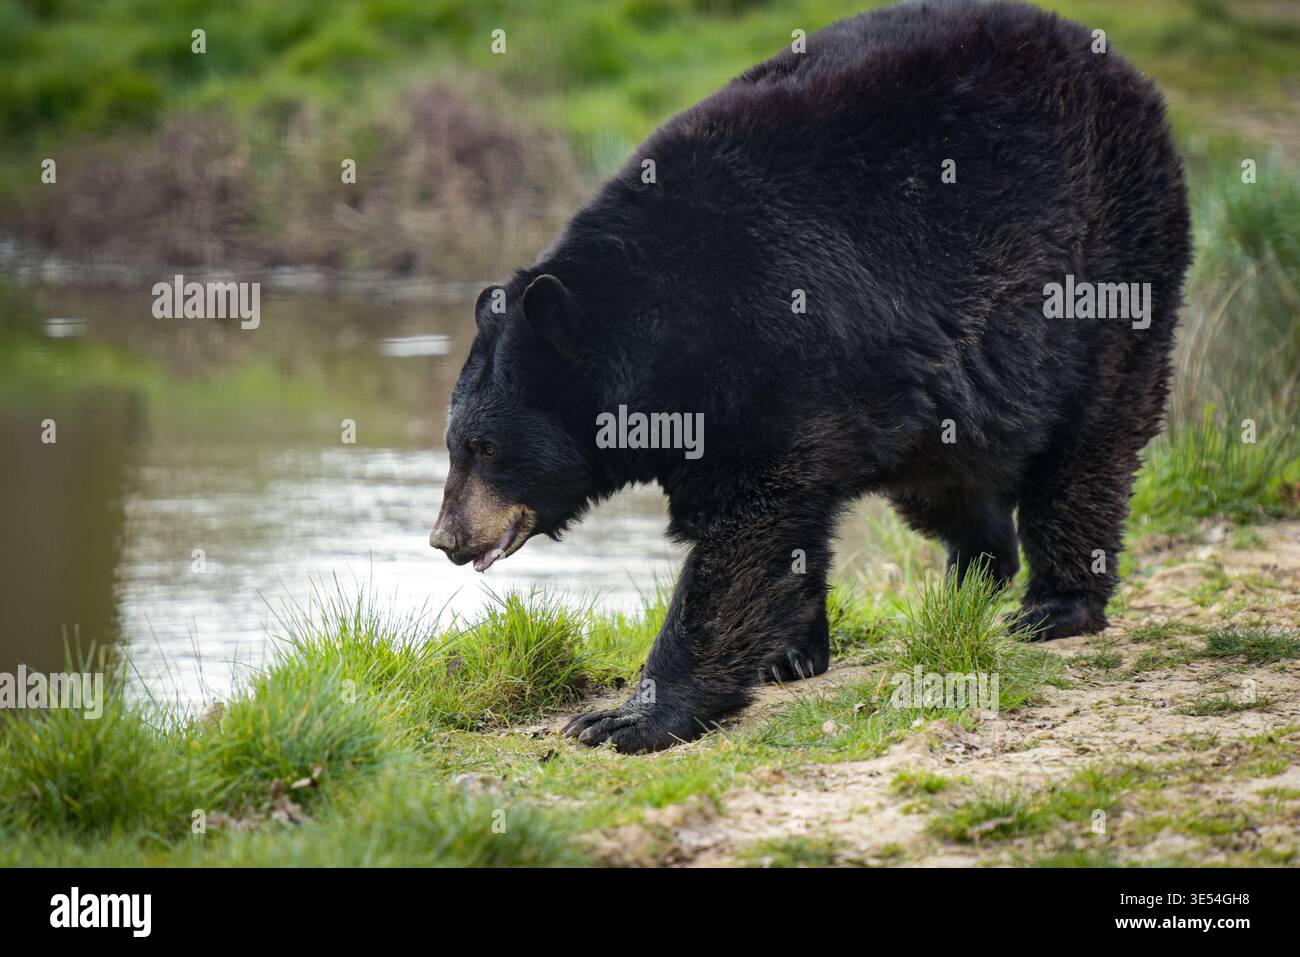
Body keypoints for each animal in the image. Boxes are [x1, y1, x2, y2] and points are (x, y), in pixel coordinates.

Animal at [429, 0, 1192, 752]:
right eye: (455, 444)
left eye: (484, 447)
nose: (445, 538)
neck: (660, 329)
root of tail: (1122, 69)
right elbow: (788, 529)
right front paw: (790, 654)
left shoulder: (773, 352)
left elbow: (747, 533)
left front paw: (628, 716)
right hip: (940, 389)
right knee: (947, 478)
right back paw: (972, 579)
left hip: (1108, 259)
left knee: (1091, 436)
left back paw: (1057, 603)